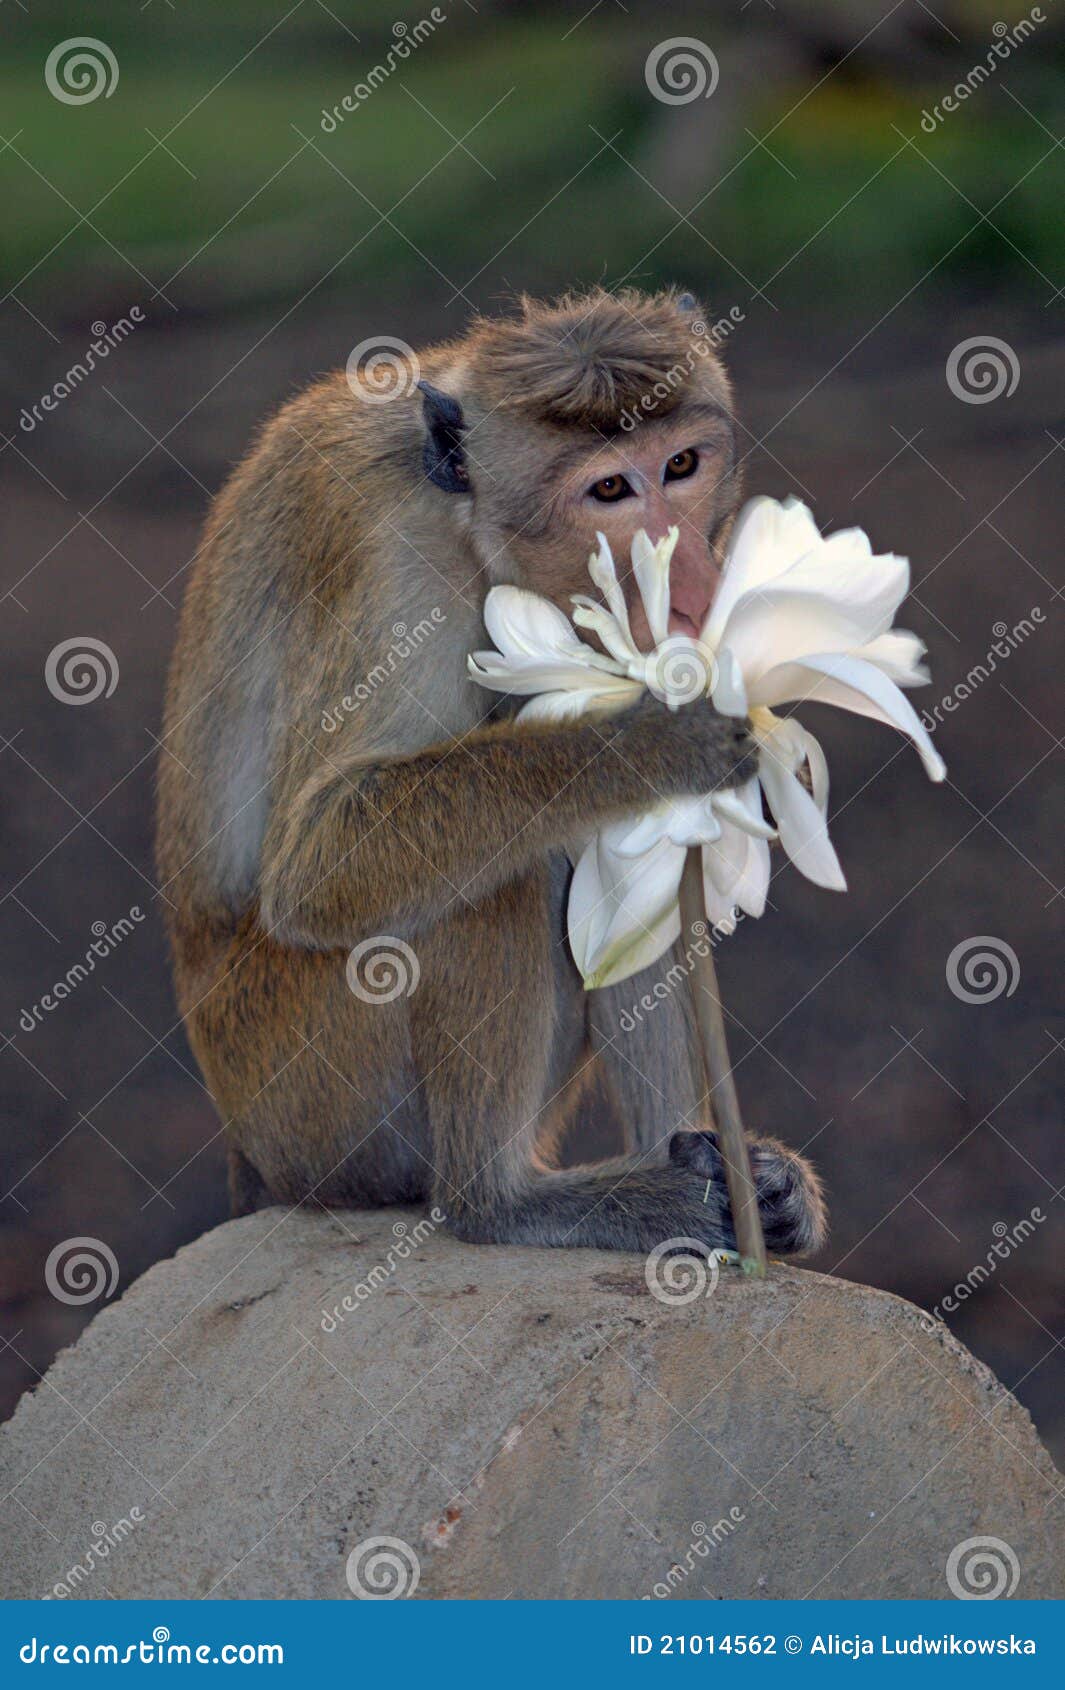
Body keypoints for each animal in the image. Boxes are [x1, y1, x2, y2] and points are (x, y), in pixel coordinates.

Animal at [156, 287, 826, 1258]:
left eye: (681, 465)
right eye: (610, 489)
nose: (691, 586)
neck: (466, 521)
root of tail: (254, 1159)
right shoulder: (397, 570)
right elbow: (318, 861)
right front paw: (651, 743)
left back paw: (710, 1173)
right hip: (309, 1093)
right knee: (499, 872)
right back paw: (500, 1202)